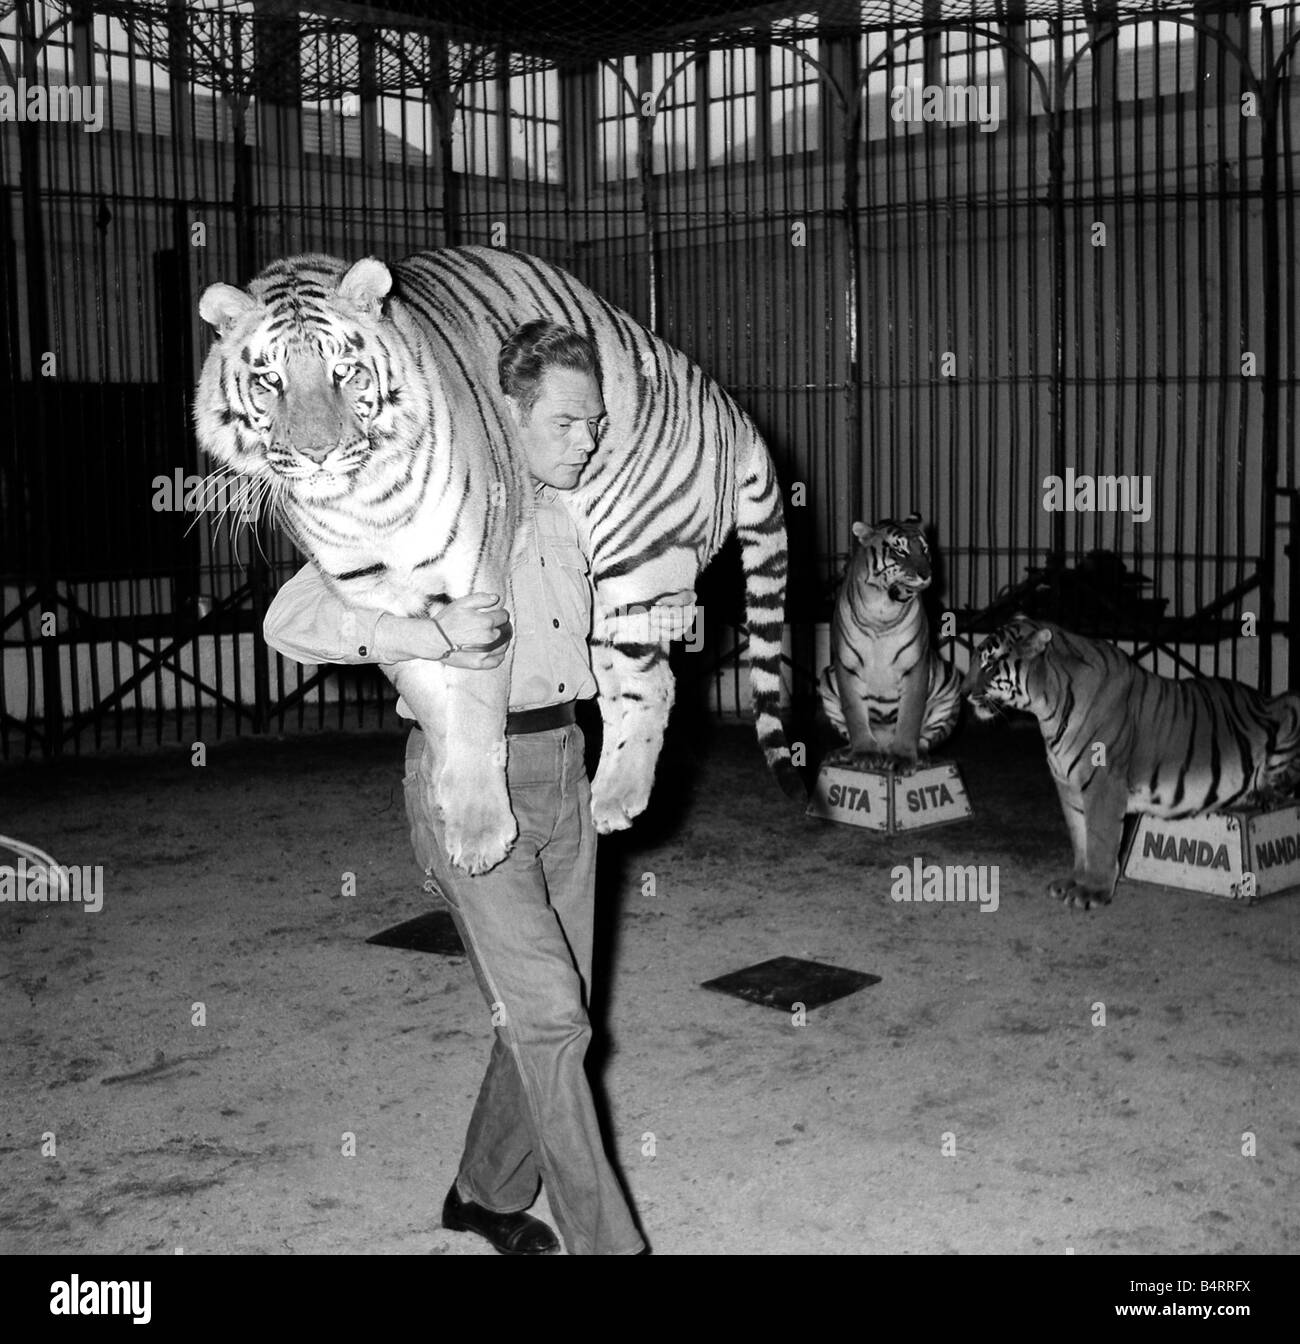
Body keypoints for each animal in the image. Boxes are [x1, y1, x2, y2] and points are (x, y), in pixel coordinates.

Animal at [195, 246, 803, 875]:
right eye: (271, 379)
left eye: (344, 371)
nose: (318, 452)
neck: (365, 503)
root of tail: (733, 409)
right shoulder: (378, 601)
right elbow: (431, 701)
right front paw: (449, 791)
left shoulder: (478, 590)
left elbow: (475, 707)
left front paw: (480, 831)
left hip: (637, 558)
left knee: (654, 682)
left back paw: (616, 800)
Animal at [817, 513, 962, 769]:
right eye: (900, 550)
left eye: (925, 550)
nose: (926, 574)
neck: (883, 607)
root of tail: (884, 745)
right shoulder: (847, 666)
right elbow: (854, 715)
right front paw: (864, 754)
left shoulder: (915, 666)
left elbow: (909, 717)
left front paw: (903, 758)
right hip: (827, 678)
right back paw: (844, 753)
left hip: (949, 680)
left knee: (926, 739)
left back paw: (920, 756)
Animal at [963, 616, 1300, 909]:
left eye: (989, 663)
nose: (964, 693)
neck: (1047, 709)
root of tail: (1267, 697)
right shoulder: (1068, 787)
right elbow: (1079, 837)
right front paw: (1074, 882)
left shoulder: (1103, 783)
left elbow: (1100, 839)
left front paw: (1092, 892)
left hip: (1290, 707)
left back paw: (1268, 795)